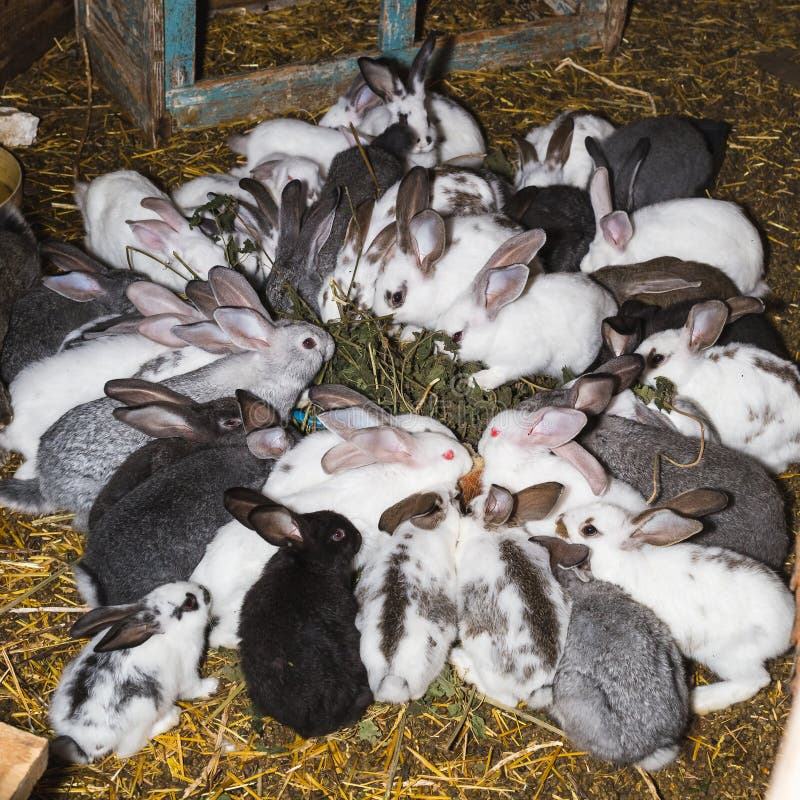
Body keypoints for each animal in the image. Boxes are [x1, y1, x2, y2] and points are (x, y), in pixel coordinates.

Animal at [49, 581, 217, 764]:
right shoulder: (188, 671)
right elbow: (193, 689)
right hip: (143, 715)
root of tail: (81, 741)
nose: (205, 590)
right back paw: (172, 717)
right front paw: (213, 685)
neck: (170, 631)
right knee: (126, 751)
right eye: (189, 603)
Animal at [435, 228, 617, 389]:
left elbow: (502, 371)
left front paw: (476, 381)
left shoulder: (525, 359)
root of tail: (612, 305)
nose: (438, 351)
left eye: (457, 336)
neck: (495, 331)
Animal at [450, 482, 571, 706]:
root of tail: (535, 684)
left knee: (507, 700)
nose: (457, 501)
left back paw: (460, 662)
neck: (494, 532)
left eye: (468, 510)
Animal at [553, 492, 794, 714]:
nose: (559, 521)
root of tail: (787, 627)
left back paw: (700, 699)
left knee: (756, 680)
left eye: (589, 529)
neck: (624, 556)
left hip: (726, 656)